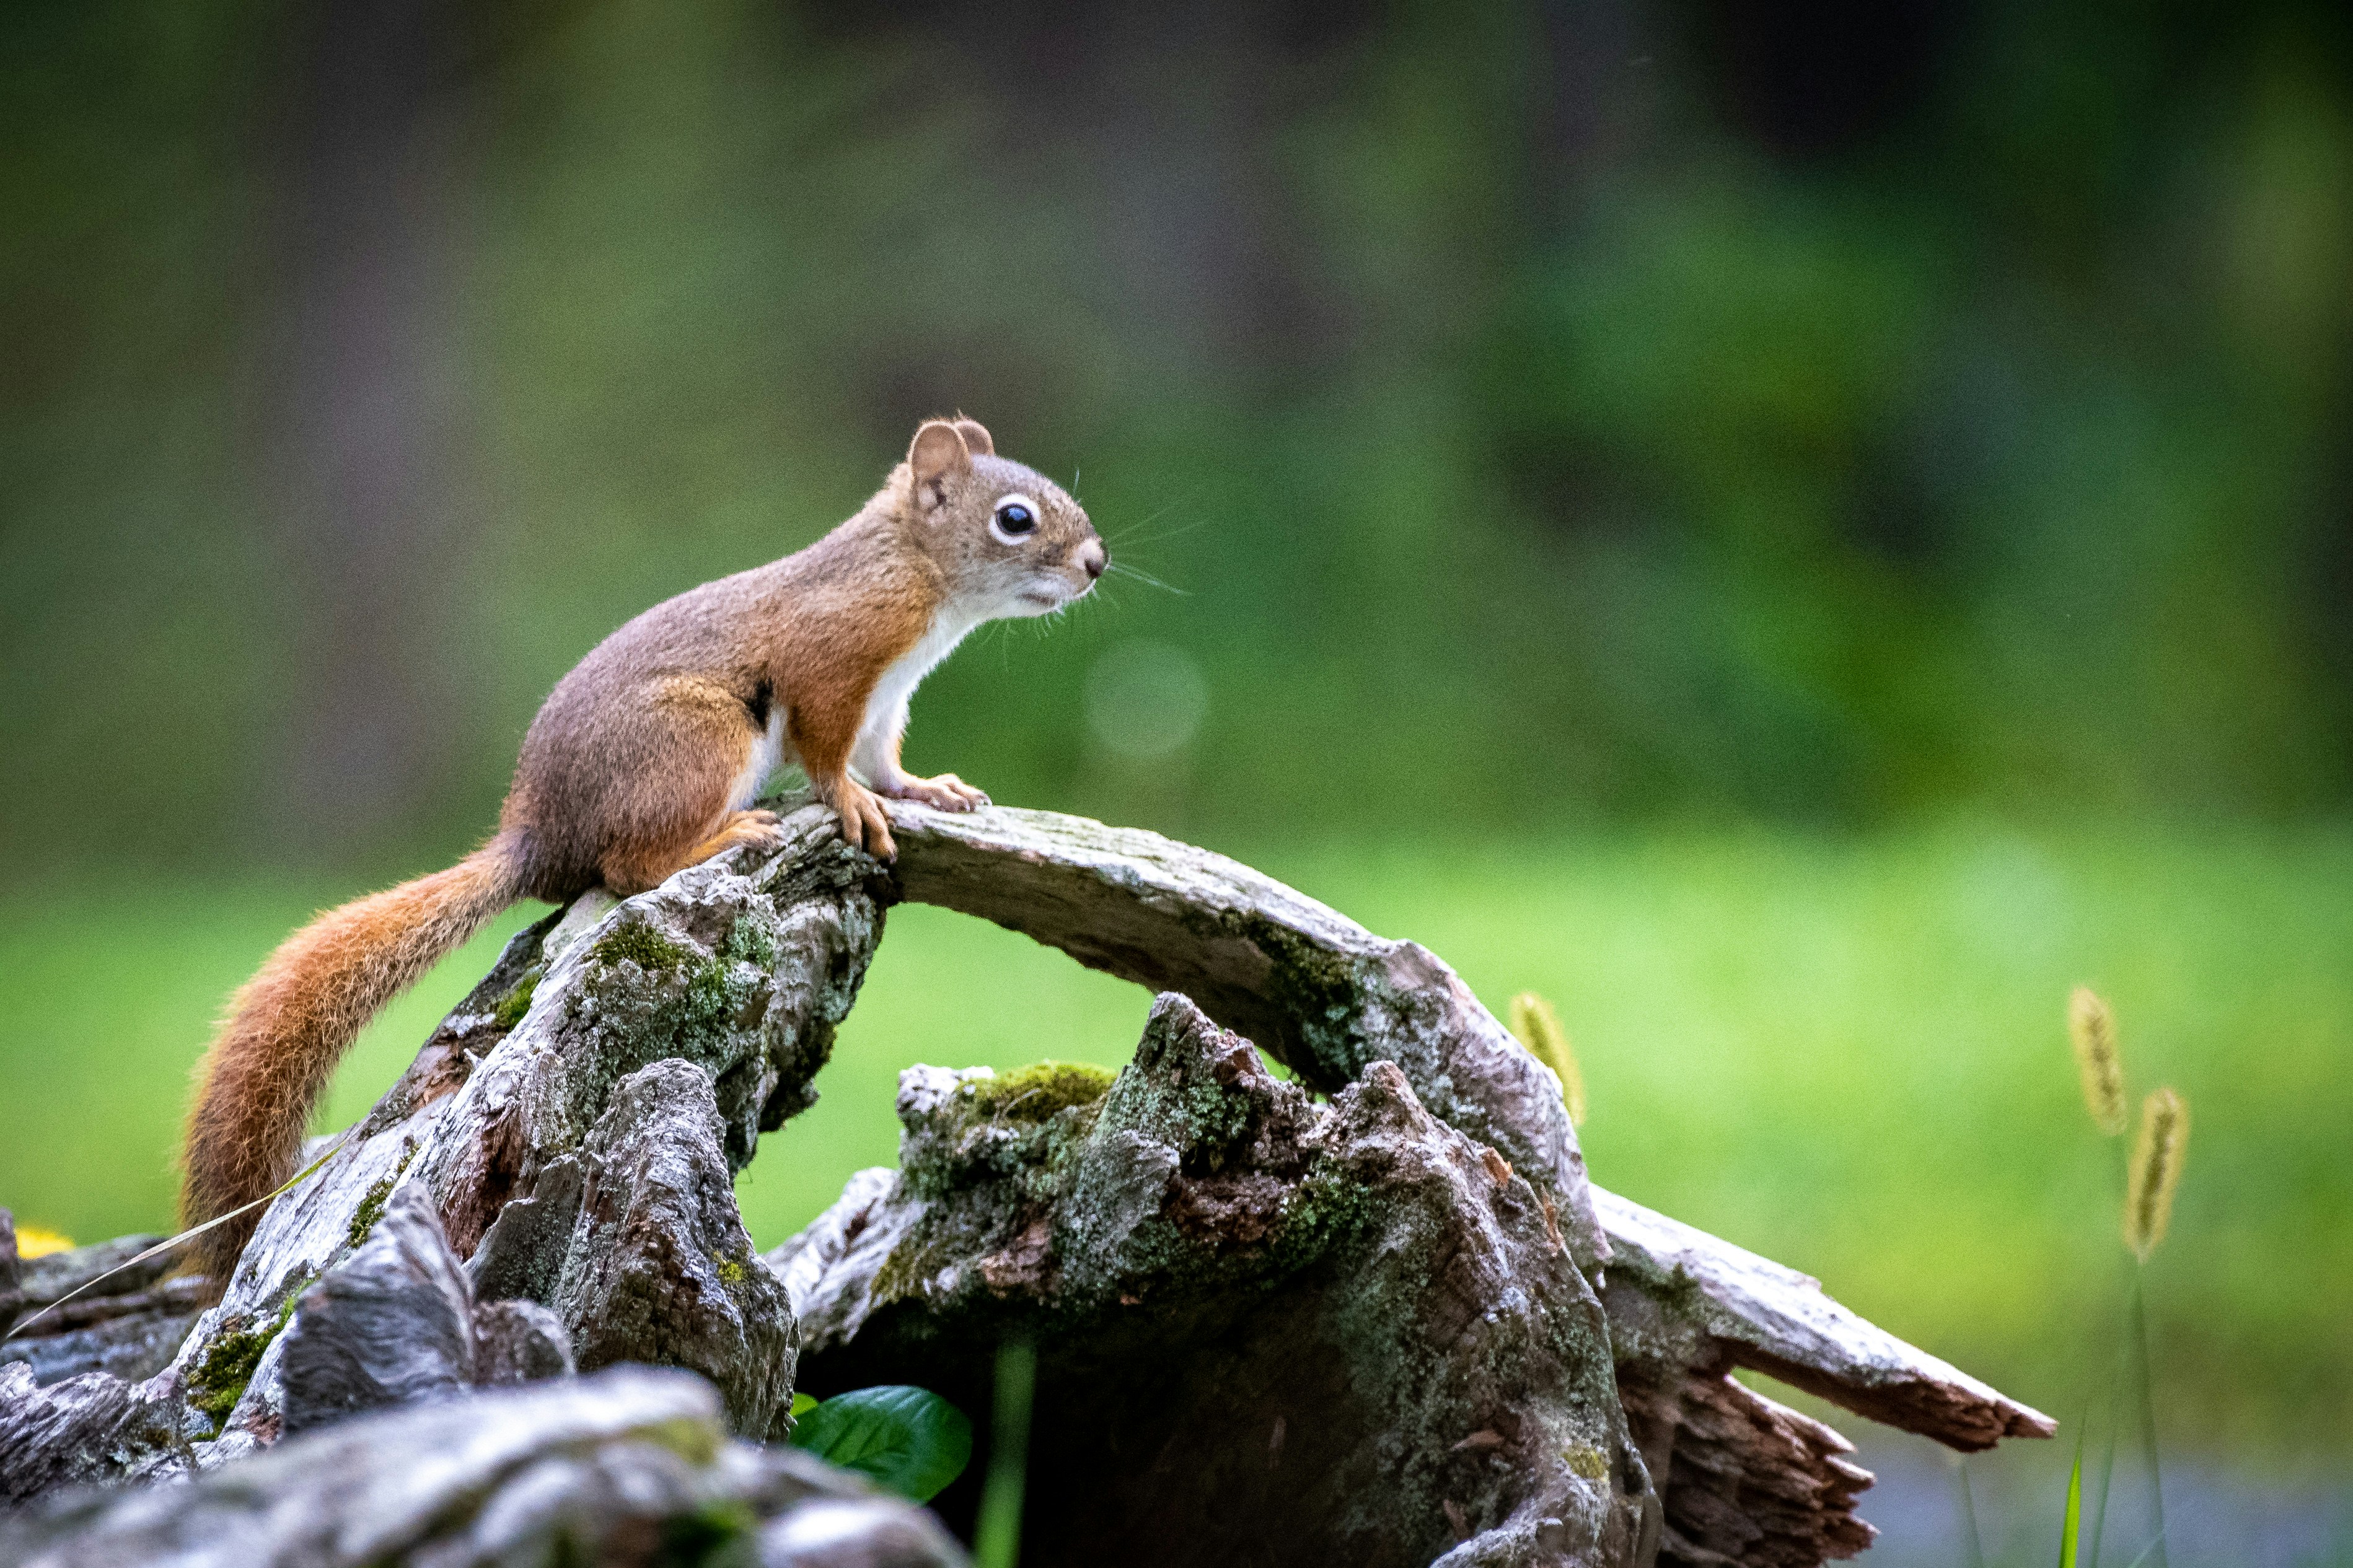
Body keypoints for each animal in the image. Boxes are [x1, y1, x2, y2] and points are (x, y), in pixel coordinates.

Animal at [179, 416, 1104, 1286]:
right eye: (1014, 518)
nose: (1097, 563)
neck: (914, 570)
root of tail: (539, 834)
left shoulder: (884, 705)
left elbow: (883, 761)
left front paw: (927, 789)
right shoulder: (833, 662)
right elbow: (829, 757)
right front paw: (850, 804)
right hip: (702, 736)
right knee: (627, 869)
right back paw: (724, 833)